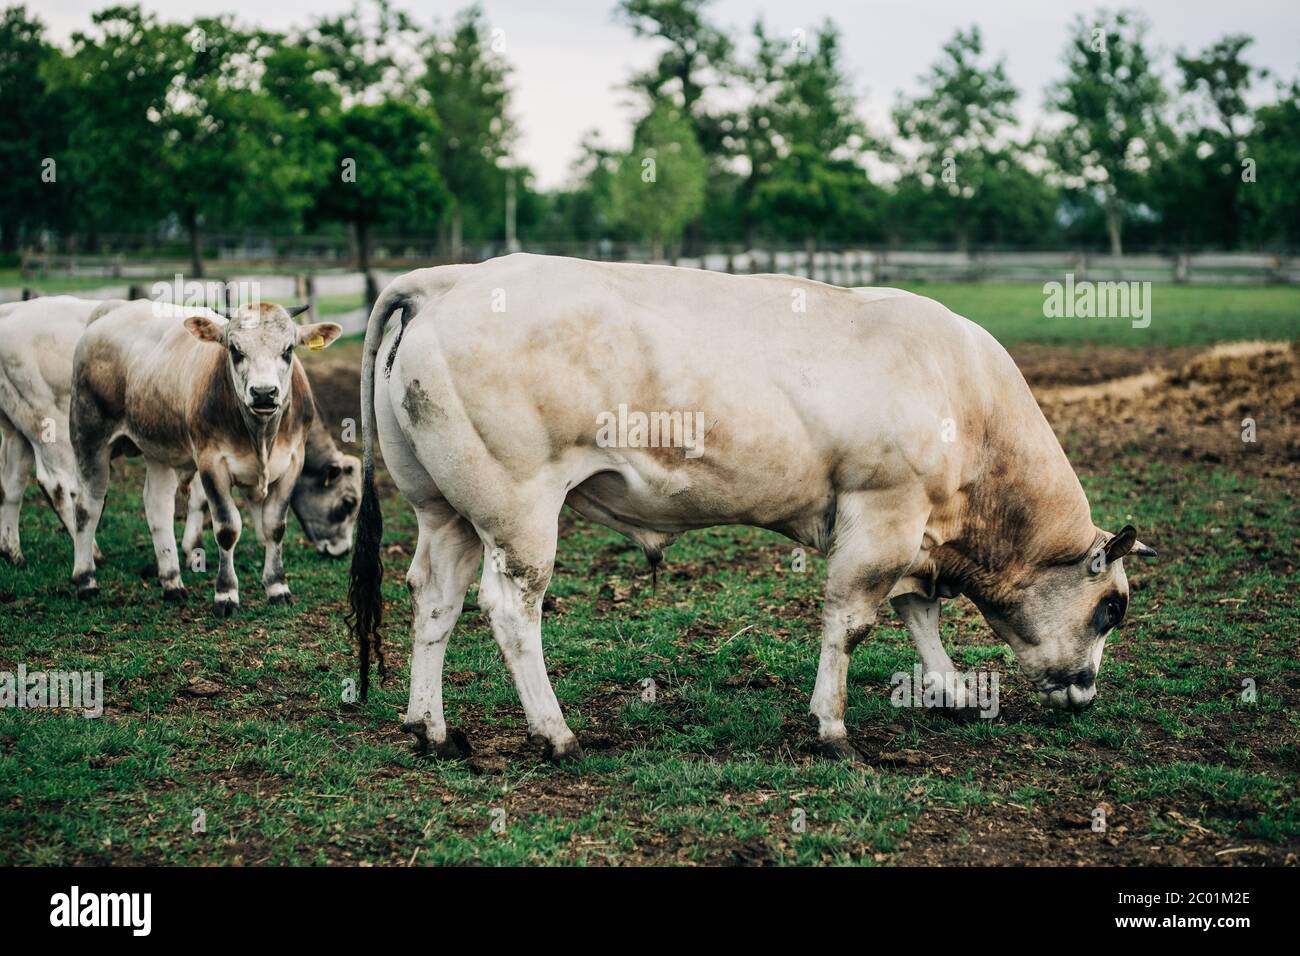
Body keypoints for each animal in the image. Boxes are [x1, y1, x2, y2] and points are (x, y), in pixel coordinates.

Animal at [0, 296, 360, 568]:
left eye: (288, 349)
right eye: (347, 503)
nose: (341, 551)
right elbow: (202, 500)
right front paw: (192, 548)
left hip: (18, 428)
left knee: (12, 487)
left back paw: (13, 551)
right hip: (51, 424)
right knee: (60, 485)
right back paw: (92, 552)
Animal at [70, 300, 343, 614]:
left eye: (288, 349)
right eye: (235, 350)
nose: (264, 393)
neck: (261, 436)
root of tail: (110, 313)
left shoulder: (292, 463)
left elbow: (275, 527)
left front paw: (278, 587)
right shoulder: (212, 463)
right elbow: (227, 528)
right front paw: (226, 594)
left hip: (158, 446)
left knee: (157, 507)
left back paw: (172, 583)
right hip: (88, 435)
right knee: (87, 507)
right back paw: (86, 581)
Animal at [348, 255, 1155, 762]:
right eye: (1111, 608)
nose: (1087, 692)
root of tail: (452, 279)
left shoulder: (913, 535)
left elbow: (918, 612)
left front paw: (952, 690)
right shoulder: (882, 517)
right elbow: (852, 622)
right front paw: (832, 727)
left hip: (444, 509)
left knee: (435, 598)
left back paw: (430, 729)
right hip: (517, 510)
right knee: (511, 609)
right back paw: (555, 734)